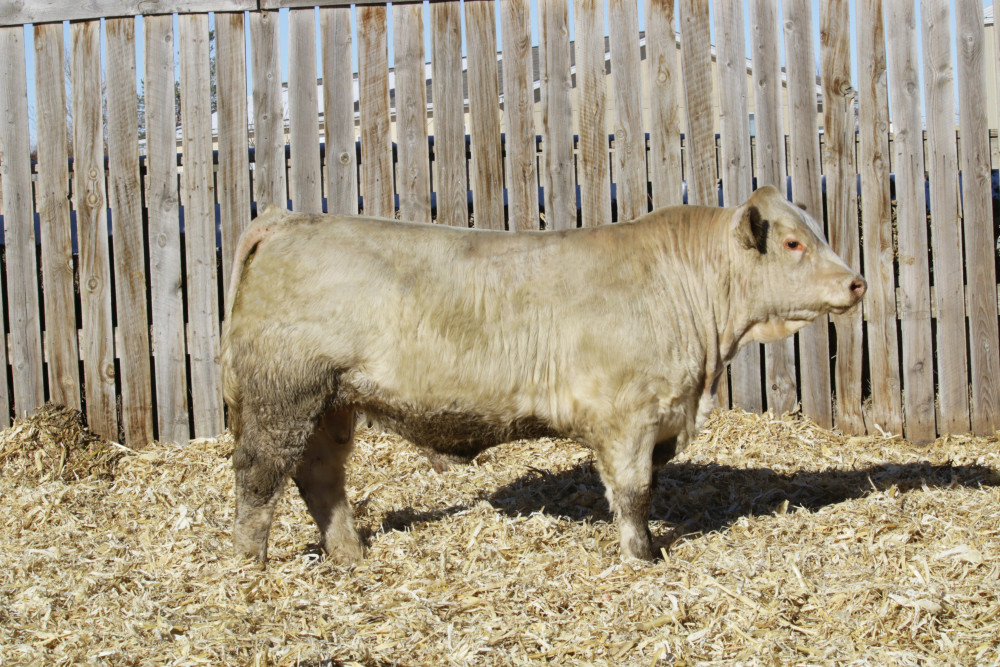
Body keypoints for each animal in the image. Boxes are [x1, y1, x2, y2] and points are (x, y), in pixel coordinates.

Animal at [221, 185, 866, 564]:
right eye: (793, 242)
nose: (857, 282)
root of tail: (286, 217)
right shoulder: (628, 416)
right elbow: (633, 492)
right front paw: (642, 555)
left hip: (331, 401)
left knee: (319, 476)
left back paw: (349, 552)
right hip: (283, 392)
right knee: (260, 474)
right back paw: (251, 563)